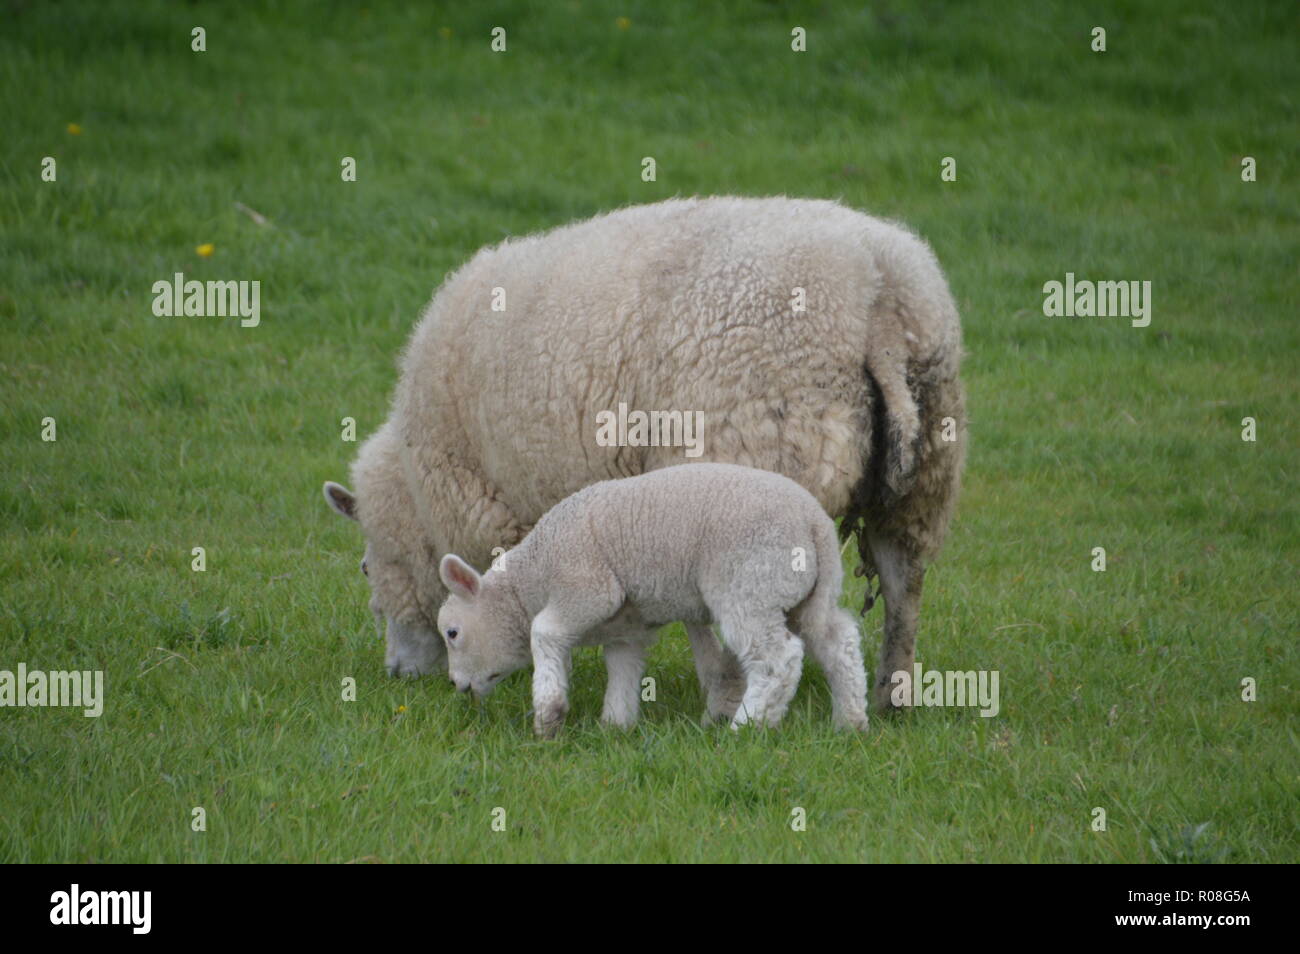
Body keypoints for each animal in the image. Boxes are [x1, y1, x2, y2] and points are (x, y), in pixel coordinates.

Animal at [436, 463, 870, 737]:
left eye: (453, 633)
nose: (456, 685)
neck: (532, 579)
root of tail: (814, 522)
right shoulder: (625, 626)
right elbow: (622, 670)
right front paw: (615, 726)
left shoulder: (588, 587)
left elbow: (543, 632)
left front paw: (549, 716)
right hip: (809, 591)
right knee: (838, 640)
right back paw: (850, 720)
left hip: (748, 586)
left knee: (778, 658)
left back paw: (748, 726)